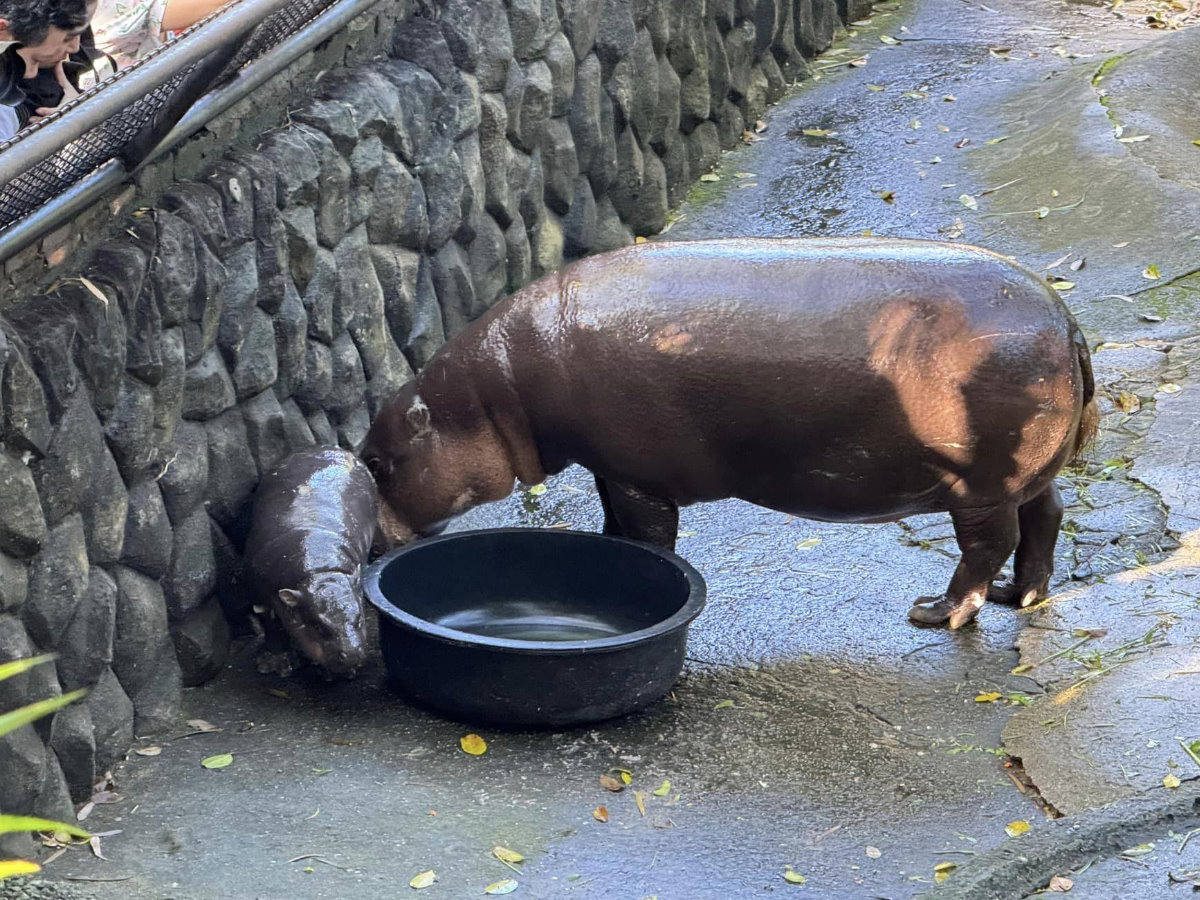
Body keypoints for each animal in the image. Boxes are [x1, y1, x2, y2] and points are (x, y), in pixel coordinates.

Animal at [245, 447, 378, 677]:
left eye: (359, 618)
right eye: (318, 626)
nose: (352, 655)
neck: (320, 569)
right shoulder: (258, 596)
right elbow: (269, 625)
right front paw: (276, 666)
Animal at [360, 238, 1098, 630]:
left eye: (378, 461)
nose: (369, 543)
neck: (493, 396)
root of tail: (1066, 320)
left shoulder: (634, 473)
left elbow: (647, 534)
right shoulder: (608, 467)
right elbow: (611, 523)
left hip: (979, 486)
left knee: (989, 544)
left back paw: (936, 612)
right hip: (1024, 473)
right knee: (1047, 516)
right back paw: (1019, 598)